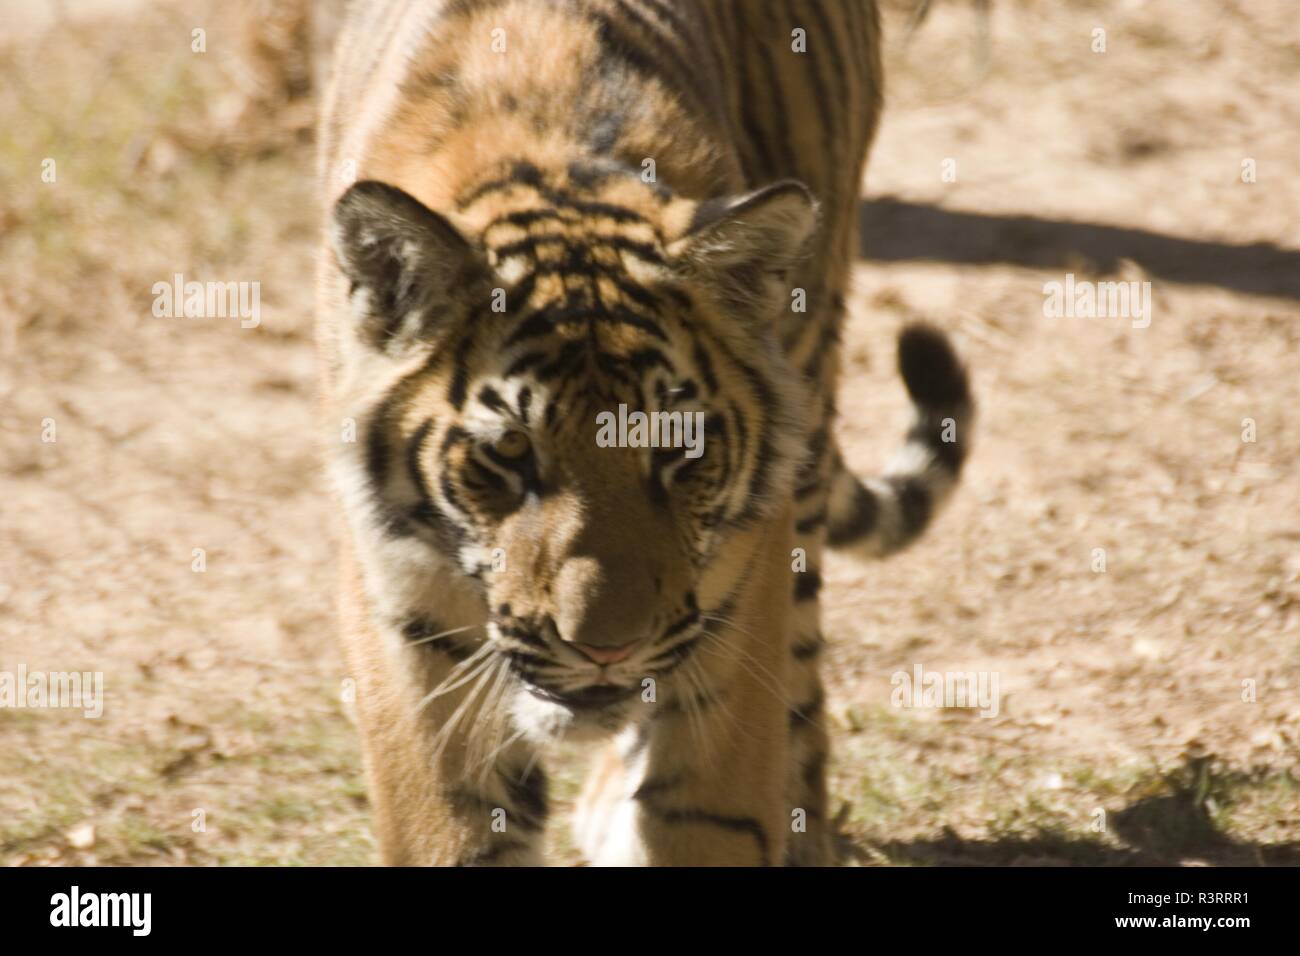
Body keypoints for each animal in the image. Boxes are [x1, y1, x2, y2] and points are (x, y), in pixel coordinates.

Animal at [315, 0, 973, 866]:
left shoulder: (738, 596)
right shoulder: (406, 610)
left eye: (678, 448)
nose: (606, 652)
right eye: (510, 451)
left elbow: (706, 808)